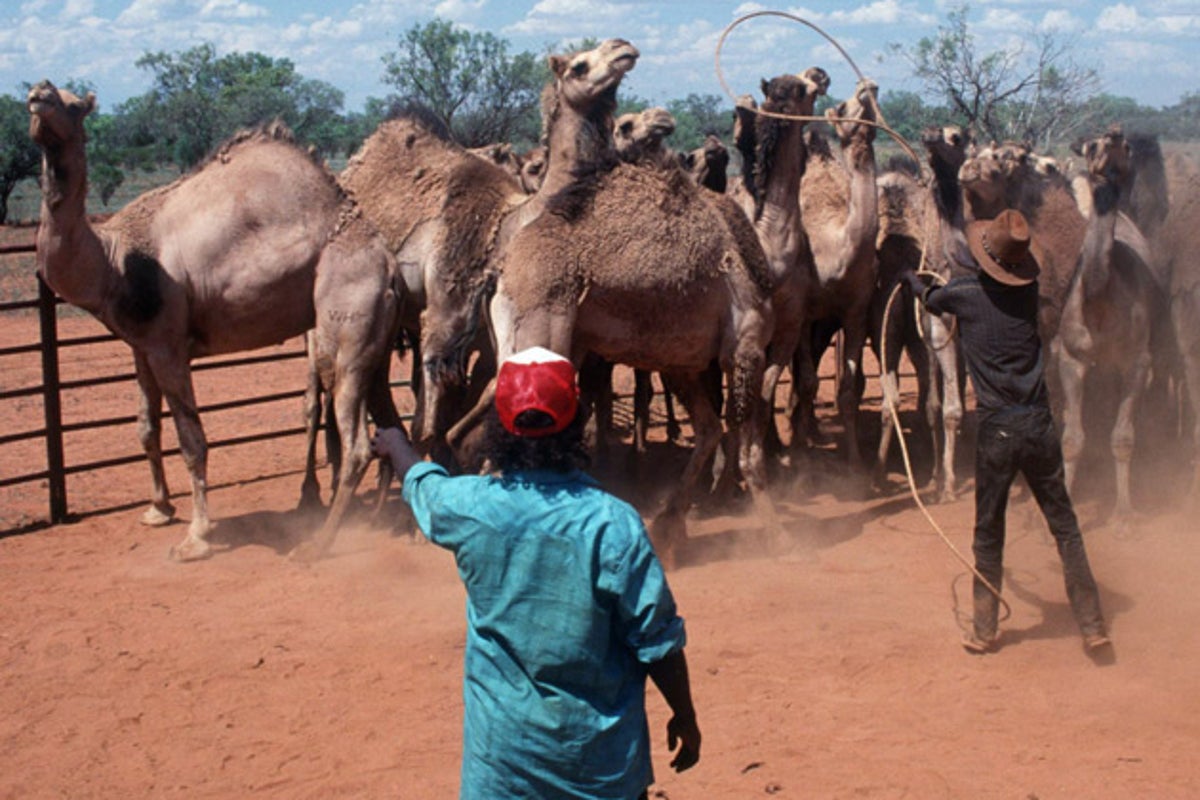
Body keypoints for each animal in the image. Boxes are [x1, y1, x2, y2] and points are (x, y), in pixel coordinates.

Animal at [28, 81, 402, 562]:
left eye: (75, 105)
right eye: (47, 93)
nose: (39, 93)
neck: (114, 263)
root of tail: (388, 262)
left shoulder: (168, 344)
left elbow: (192, 440)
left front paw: (196, 537)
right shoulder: (140, 345)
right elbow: (146, 429)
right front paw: (158, 510)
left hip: (348, 316)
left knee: (355, 438)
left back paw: (318, 544)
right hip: (379, 336)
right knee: (390, 423)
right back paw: (387, 521)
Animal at [1056, 126, 1165, 521]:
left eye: (1127, 146)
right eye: (1091, 146)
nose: (1115, 137)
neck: (1099, 298)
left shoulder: (1137, 360)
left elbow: (1123, 437)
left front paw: (1123, 515)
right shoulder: (1071, 357)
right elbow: (1072, 438)